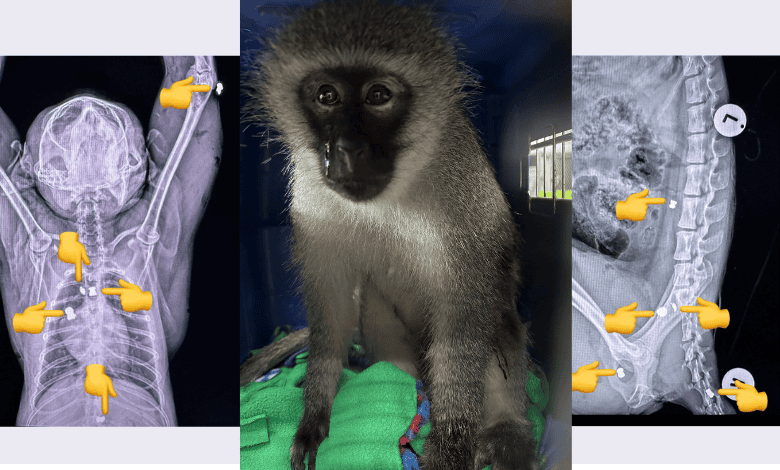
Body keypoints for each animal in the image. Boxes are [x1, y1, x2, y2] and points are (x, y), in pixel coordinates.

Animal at [241, 1, 537, 469]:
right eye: (327, 96)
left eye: (378, 96)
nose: (346, 150)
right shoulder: (313, 207)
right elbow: (333, 307)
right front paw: (314, 414)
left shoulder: (465, 208)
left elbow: (465, 319)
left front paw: (449, 447)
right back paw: (396, 385)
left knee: (499, 323)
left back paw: (507, 430)